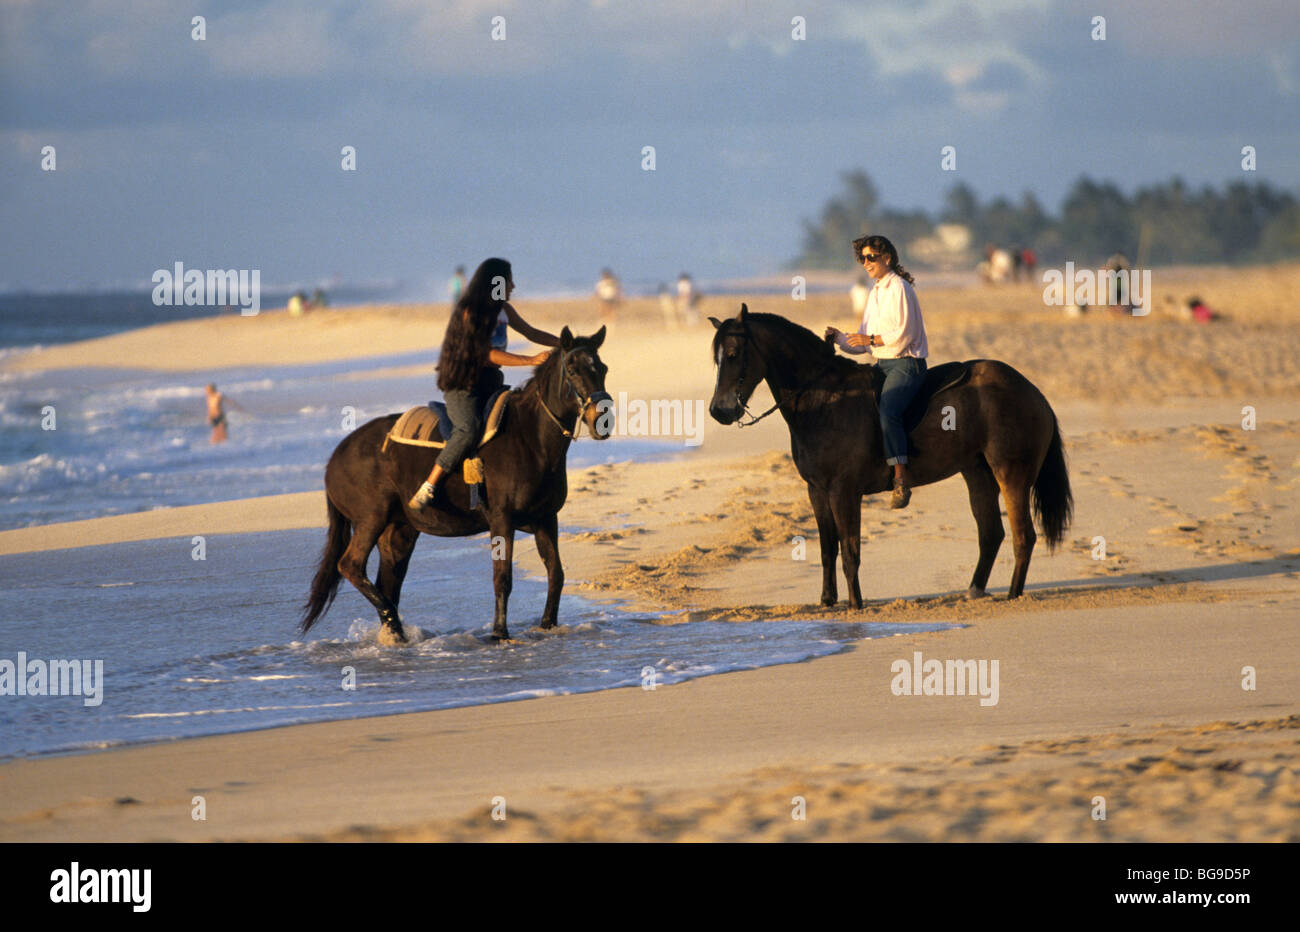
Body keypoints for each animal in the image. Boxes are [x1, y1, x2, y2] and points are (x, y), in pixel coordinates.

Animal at [301, 326, 612, 643]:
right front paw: (499, 633)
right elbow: (502, 578)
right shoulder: (502, 520)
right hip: (371, 519)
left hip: (399, 531)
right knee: (350, 566)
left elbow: (556, 574)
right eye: (572, 369)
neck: (530, 438)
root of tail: (335, 459)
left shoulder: (546, 519)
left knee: (386, 583)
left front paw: (547, 625)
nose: (602, 420)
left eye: (603, 368)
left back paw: (396, 632)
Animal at [708, 306, 1072, 607]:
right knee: (991, 534)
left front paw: (855, 605)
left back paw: (1013, 595)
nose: (718, 411)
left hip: (1011, 475)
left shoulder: (844, 491)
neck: (824, 399)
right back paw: (975, 591)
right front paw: (827, 601)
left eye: (734, 354)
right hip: (977, 473)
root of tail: (1032, 391)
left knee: (1023, 535)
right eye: (716, 358)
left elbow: (849, 550)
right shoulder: (817, 490)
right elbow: (827, 549)